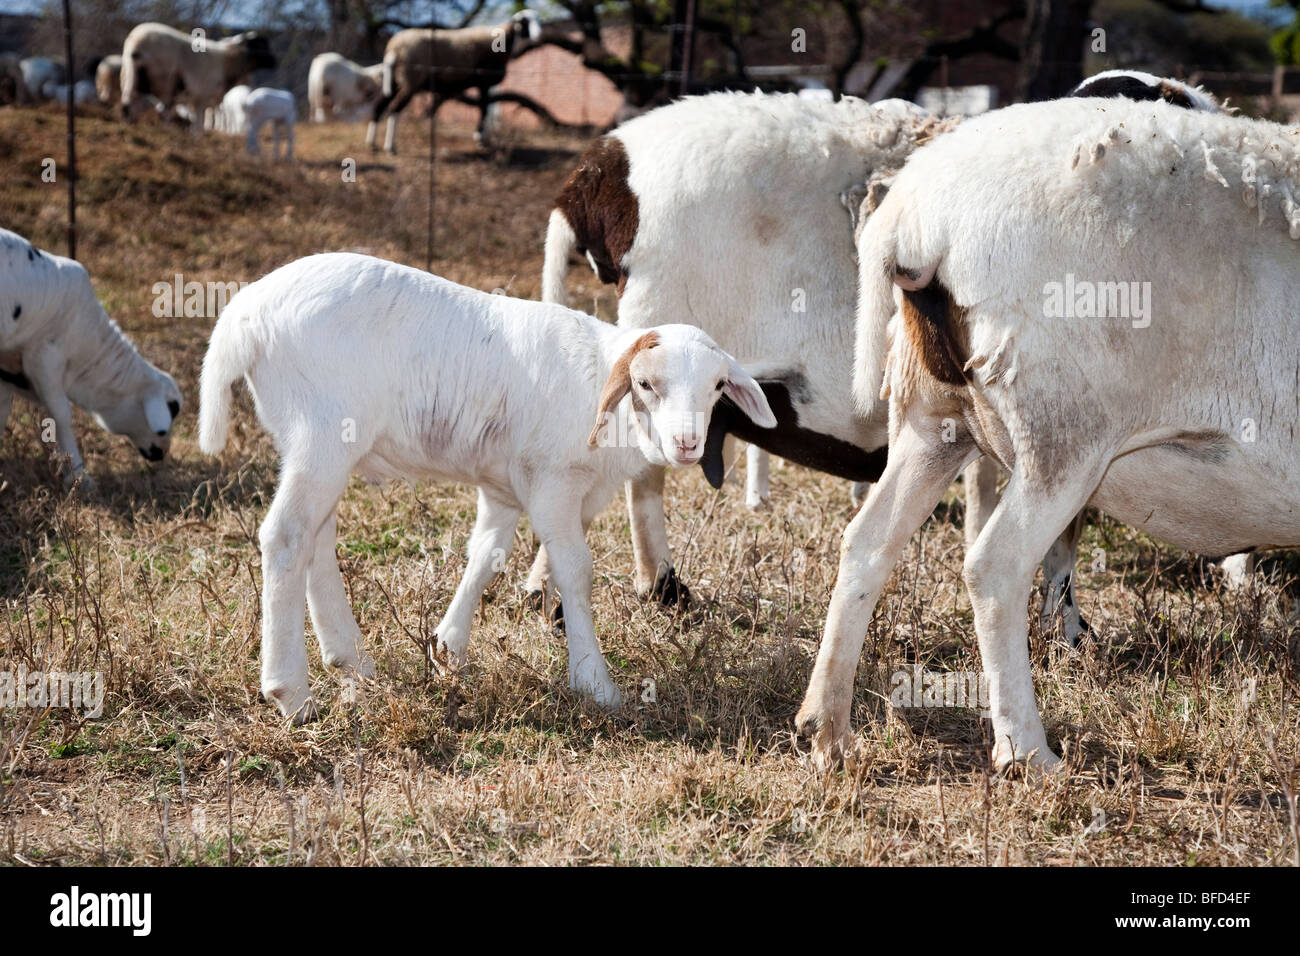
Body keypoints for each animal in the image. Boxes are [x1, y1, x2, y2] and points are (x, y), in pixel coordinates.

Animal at [0, 228, 183, 487]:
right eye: (173, 409)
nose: (162, 453)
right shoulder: (44, 356)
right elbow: (61, 414)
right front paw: (79, 477)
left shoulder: (6, 366)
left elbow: (2, 410)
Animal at [120, 23, 276, 132]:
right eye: (261, 44)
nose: (275, 61)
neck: (227, 61)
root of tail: (136, 42)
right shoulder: (203, 95)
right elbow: (199, 123)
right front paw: (197, 138)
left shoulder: (200, 98)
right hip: (165, 82)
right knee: (162, 111)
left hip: (131, 78)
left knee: (129, 106)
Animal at [197, 252, 775, 723]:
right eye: (646, 384)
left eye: (717, 386)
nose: (687, 444)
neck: (600, 396)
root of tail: (243, 313)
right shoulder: (553, 484)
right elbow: (574, 571)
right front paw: (594, 682)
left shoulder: (503, 487)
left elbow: (486, 555)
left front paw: (448, 647)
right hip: (320, 433)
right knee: (287, 537)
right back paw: (291, 692)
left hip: (315, 445)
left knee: (316, 539)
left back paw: (351, 659)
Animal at [365, 9, 541, 154]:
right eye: (525, 22)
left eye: (538, 19)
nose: (538, 35)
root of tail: (394, 48)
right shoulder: (484, 82)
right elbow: (484, 109)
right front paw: (480, 139)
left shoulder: (485, 84)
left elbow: (486, 109)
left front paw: (485, 138)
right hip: (411, 81)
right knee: (394, 109)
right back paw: (390, 147)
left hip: (395, 81)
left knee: (379, 106)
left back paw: (372, 144)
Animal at [798, 97, 1300, 772]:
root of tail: (913, 215)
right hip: (1063, 429)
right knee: (995, 567)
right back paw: (1027, 753)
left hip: (935, 418)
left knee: (866, 544)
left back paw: (828, 730)